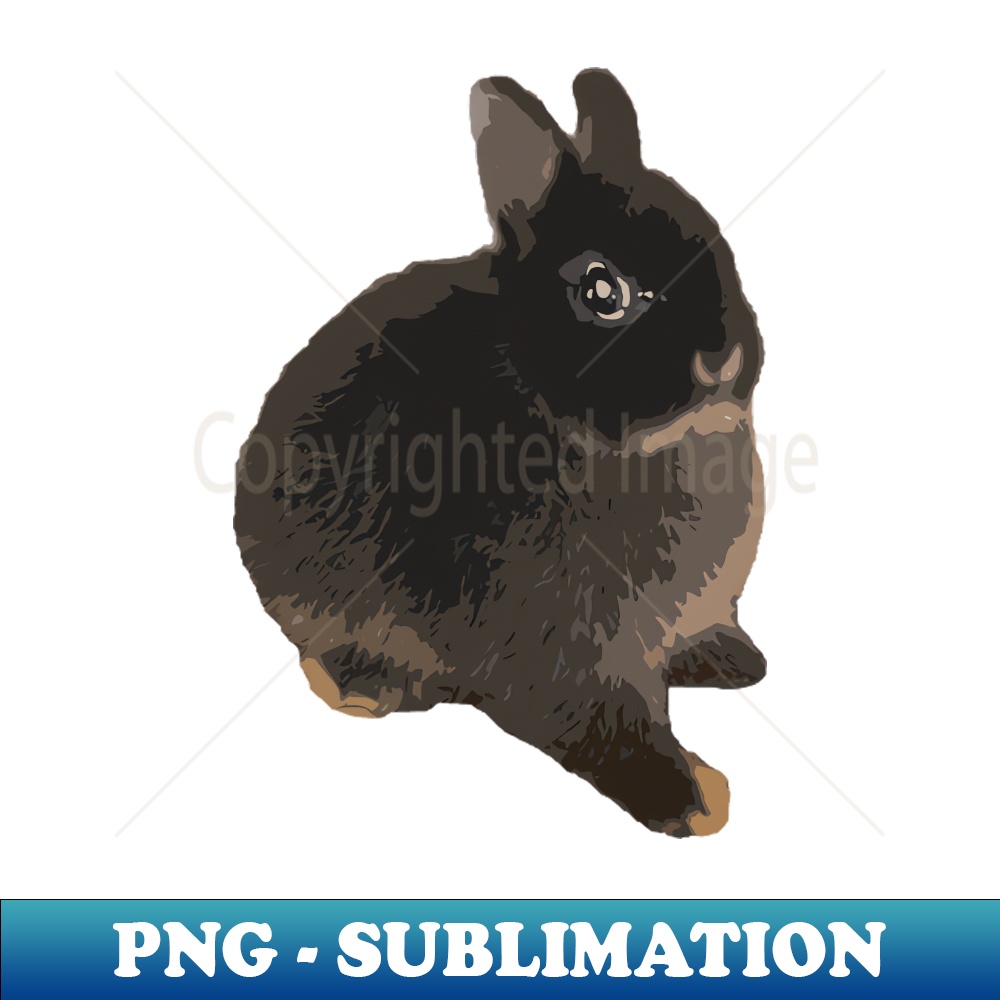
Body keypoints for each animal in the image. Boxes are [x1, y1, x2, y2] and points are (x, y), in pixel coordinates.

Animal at [235, 68, 765, 837]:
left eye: (715, 239)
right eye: (601, 290)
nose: (722, 360)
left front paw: (734, 662)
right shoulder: (558, 641)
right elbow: (601, 722)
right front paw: (693, 801)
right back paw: (365, 686)